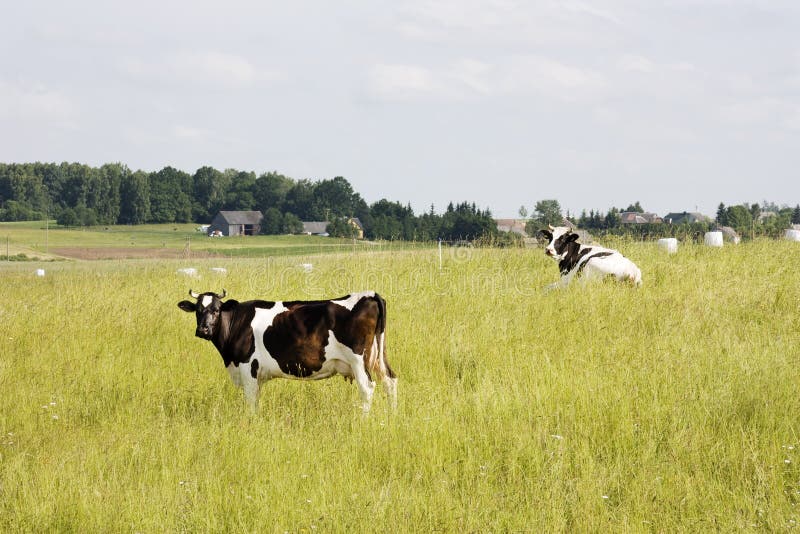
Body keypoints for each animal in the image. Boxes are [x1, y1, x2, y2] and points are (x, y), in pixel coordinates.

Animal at [177, 289, 397, 413]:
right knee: (390, 381)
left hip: (358, 360)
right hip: (378, 357)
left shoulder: (248, 369)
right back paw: (391, 417)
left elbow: (250, 402)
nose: (203, 329)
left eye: (216, 310)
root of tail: (369, 294)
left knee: (367, 388)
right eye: (198, 310)